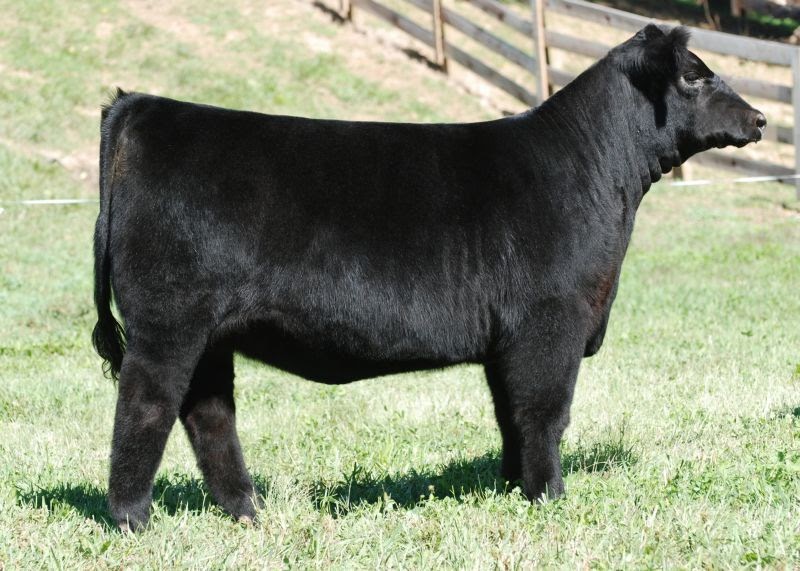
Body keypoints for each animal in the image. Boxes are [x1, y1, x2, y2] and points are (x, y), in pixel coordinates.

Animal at [93, 24, 765, 531]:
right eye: (694, 75)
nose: (758, 117)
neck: (595, 171)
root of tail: (142, 106)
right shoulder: (552, 322)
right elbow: (545, 414)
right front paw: (549, 497)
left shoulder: (506, 339)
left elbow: (510, 415)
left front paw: (512, 487)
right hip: (168, 323)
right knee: (146, 406)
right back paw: (132, 519)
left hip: (211, 334)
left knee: (209, 416)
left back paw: (246, 512)